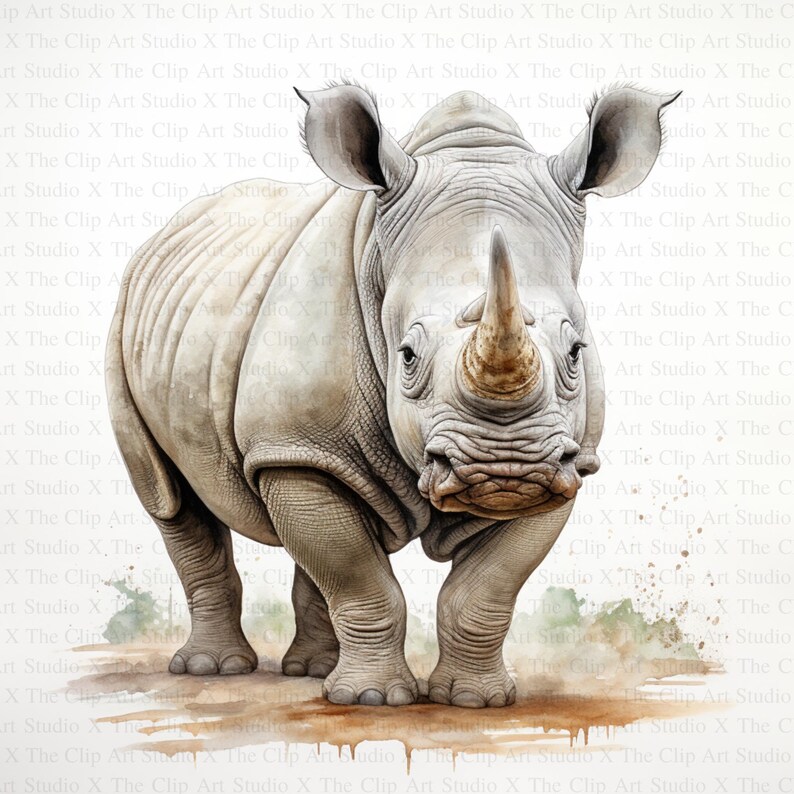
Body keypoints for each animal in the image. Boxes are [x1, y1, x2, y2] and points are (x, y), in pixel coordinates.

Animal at [106, 82, 679, 708]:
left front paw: (473, 702)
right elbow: (359, 579)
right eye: (406, 355)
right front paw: (372, 701)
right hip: (127, 318)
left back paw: (309, 671)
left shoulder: (572, 459)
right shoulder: (291, 442)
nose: (505, 470)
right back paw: (215, 670)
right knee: (171, 500)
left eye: (575, 351)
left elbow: (483, 590)